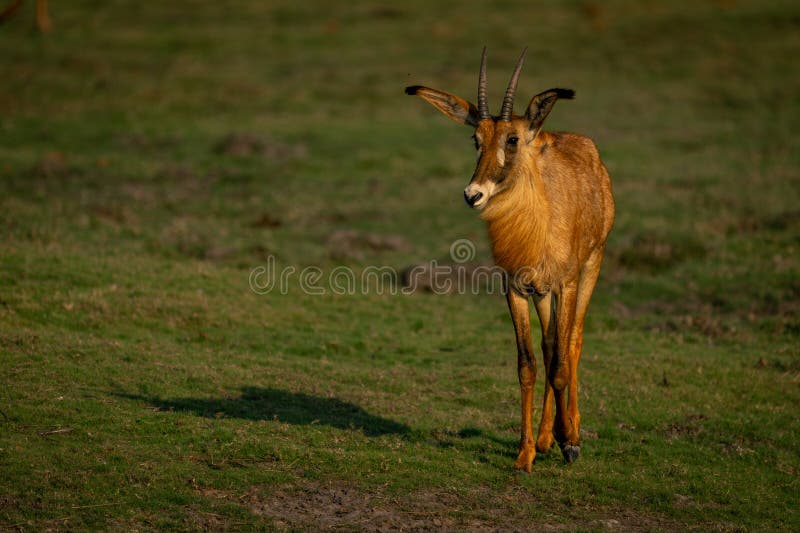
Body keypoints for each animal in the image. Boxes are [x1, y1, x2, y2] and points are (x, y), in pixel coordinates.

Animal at [406, 48, 614, 471]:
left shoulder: (566, 283)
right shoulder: (515, 288)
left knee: (572, 342)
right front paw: (525, 453)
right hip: (542, 293)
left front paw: (571, 444)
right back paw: (549, 437)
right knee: (551, 346)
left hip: (590, 267)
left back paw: (570, 432)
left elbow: (561, 364)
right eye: (475, 139)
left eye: (513, 138)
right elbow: (528, 364)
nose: (473, 194)